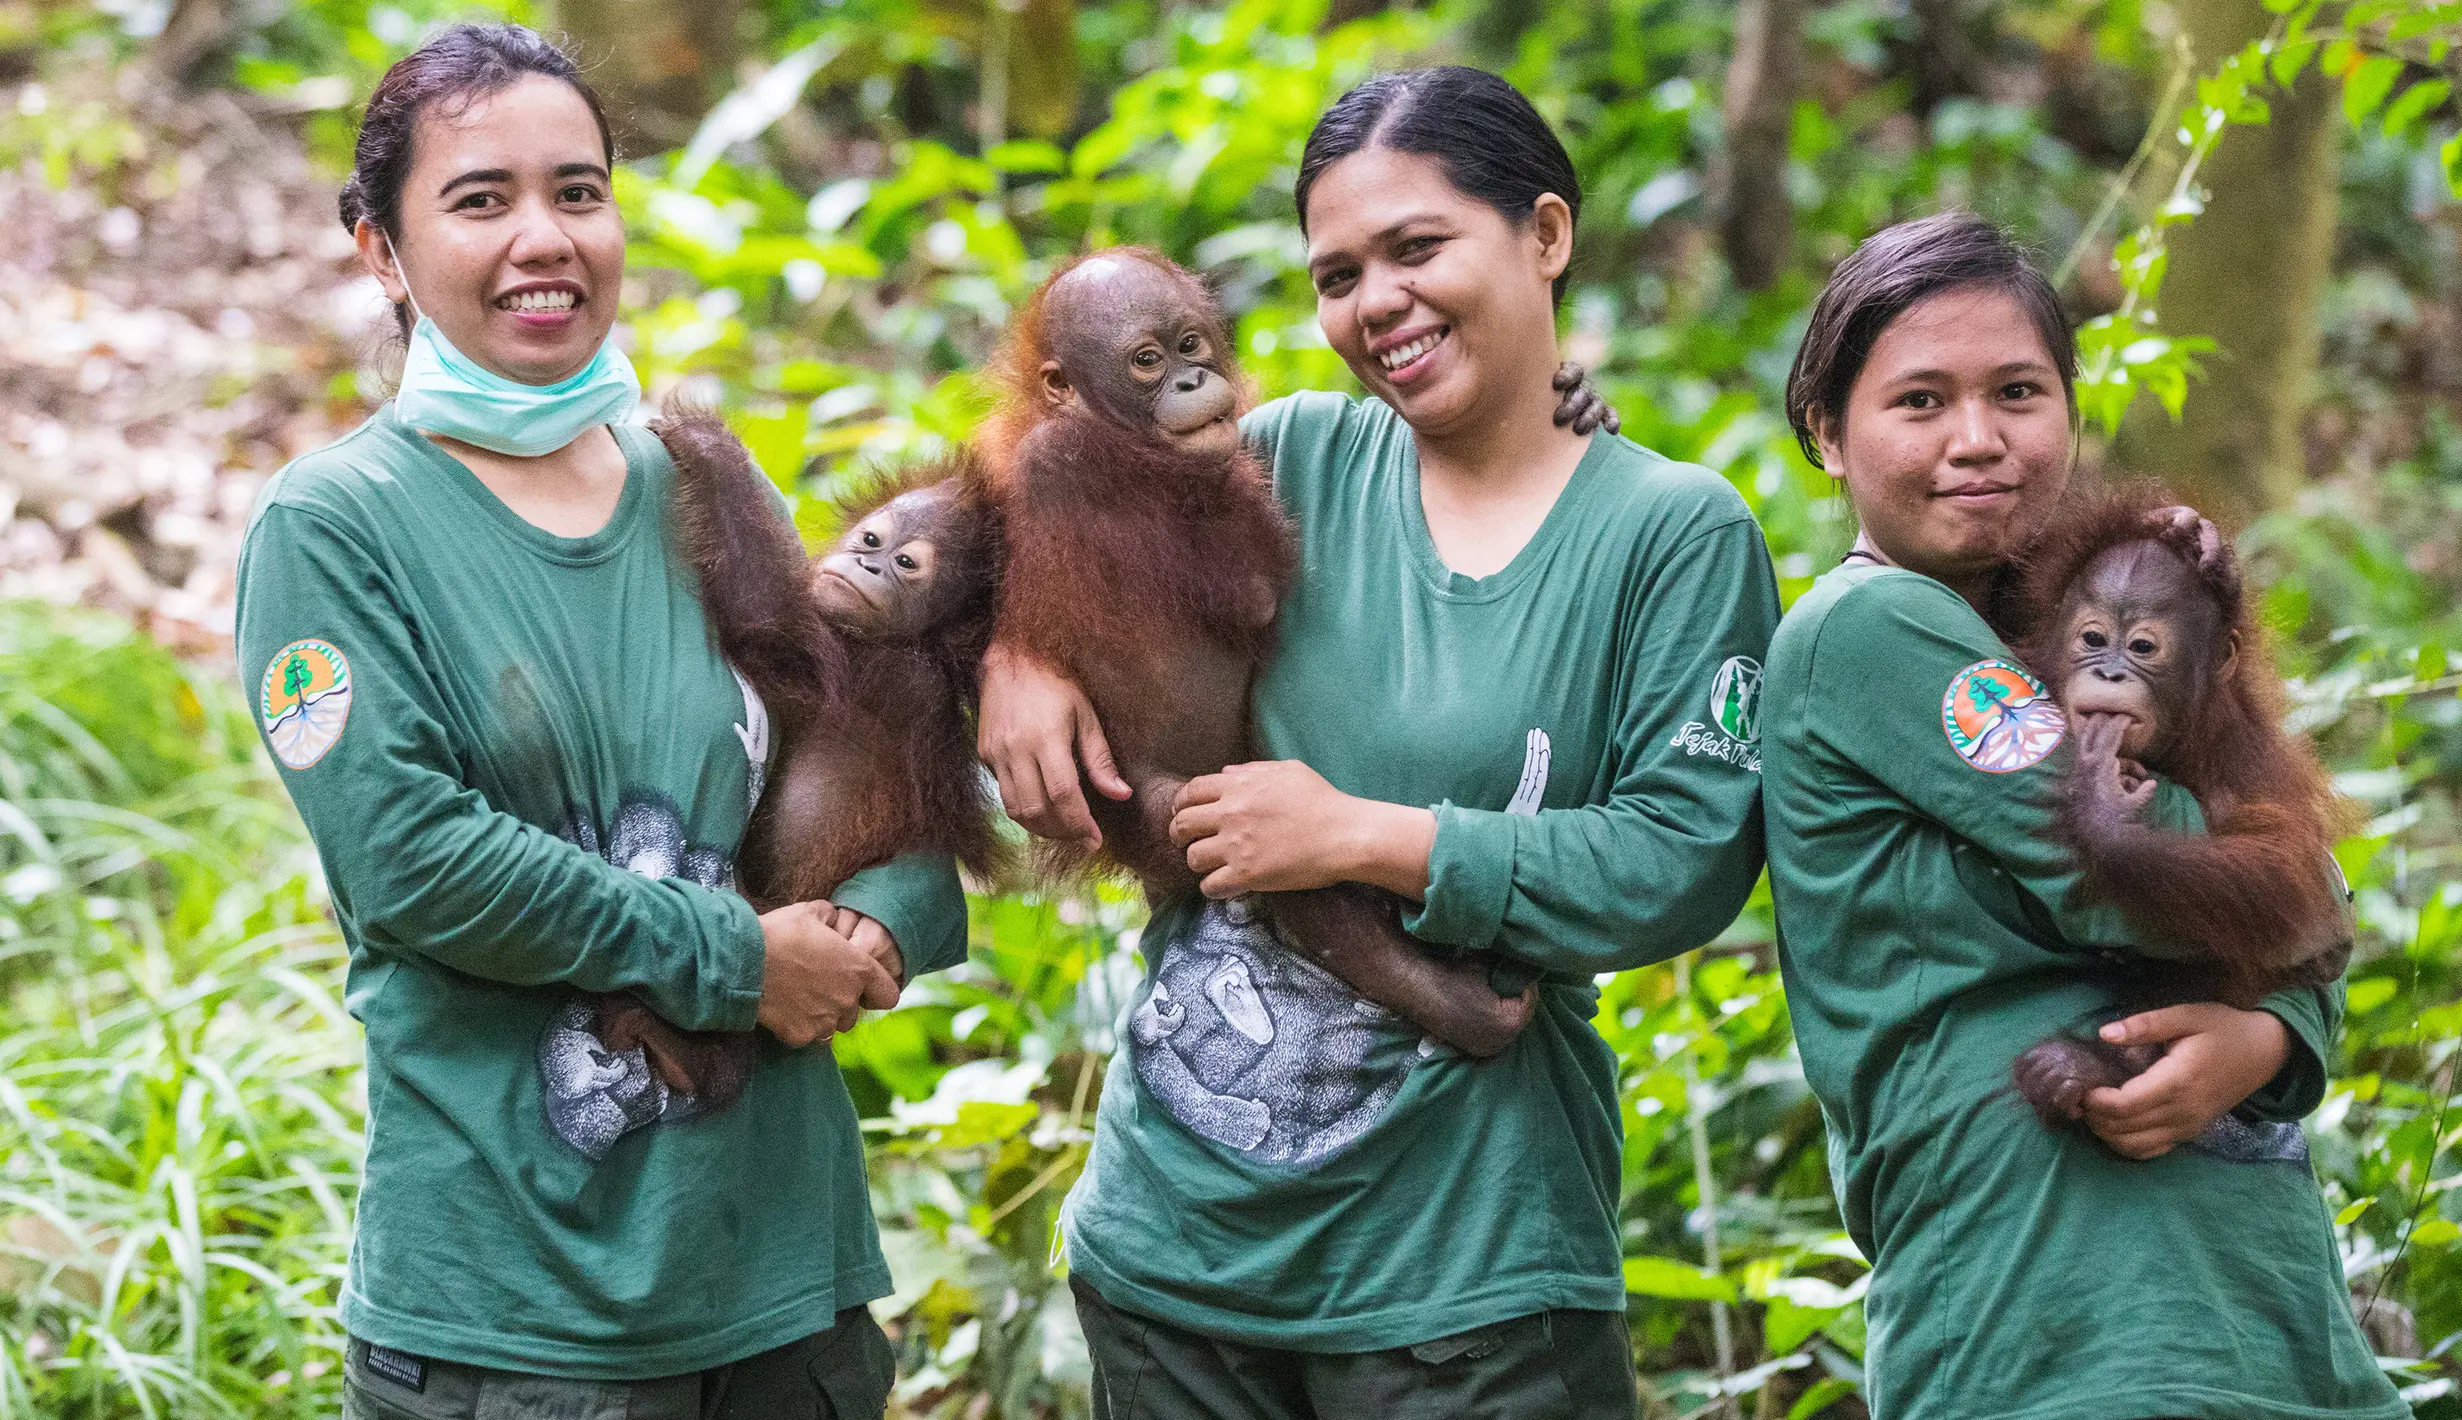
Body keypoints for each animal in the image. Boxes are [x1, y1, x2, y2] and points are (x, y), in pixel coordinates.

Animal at [584, 411, 1003, 1111]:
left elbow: (766, 623)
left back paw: (690, 1057)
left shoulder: (872, 665)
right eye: (871, 537)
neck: (916, 641)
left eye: (905, 563)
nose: (865, 563)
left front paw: (702, 442)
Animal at [976, 248, 1537, 1059]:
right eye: (1146, 361)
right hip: (1155, 810)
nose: (1191, 382)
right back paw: (1456, 1002)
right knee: (1282, 879)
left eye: (1189, 345)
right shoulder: (1080, 462)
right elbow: (1250, 593)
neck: (1101, 425)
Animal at [2005, 487, 2353, 1129]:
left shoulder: (2243, 761)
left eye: (2143, 647)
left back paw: (2096, 1068)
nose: (2109, 670)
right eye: (2093, 639)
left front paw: (2104, 815)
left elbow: (2292, 888)